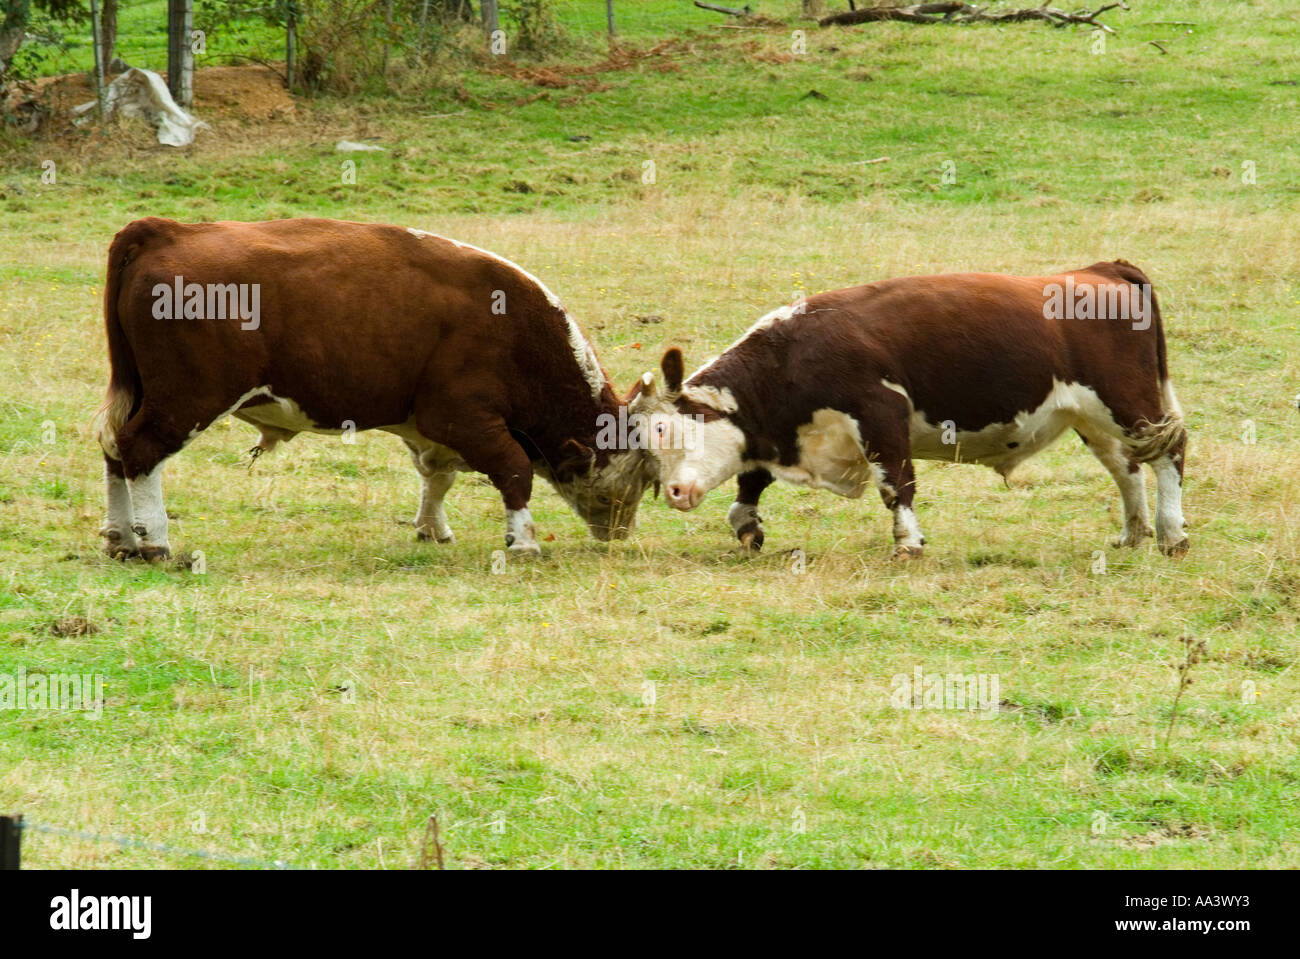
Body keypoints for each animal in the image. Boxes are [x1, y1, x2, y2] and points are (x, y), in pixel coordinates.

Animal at [92, 217, 656, 561]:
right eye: (641, 472)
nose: (622, 531)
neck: (515, 326)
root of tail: (165, 230)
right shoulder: (462, 415)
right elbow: (514, 470)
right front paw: (523, 542)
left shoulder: (429, 426)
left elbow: (438, 476)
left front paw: (432, 527)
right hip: (186, 399)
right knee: (141, 450)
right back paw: (154, 540)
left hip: (139, 392)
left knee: (114, 448)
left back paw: (121, 537)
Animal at [632, 261, 1189, 559]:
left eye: (664, 430)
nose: (674, 493)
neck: (792, 352)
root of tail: (1098, 271)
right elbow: (750, 482)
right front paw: (747, 525)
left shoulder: (880, 412)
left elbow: (896, 483)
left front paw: (908, 543)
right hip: (1094, 419)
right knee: (1127, 466)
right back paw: (1133, 532)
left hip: (1130, 403)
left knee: (1170, 454)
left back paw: (1171, 533)